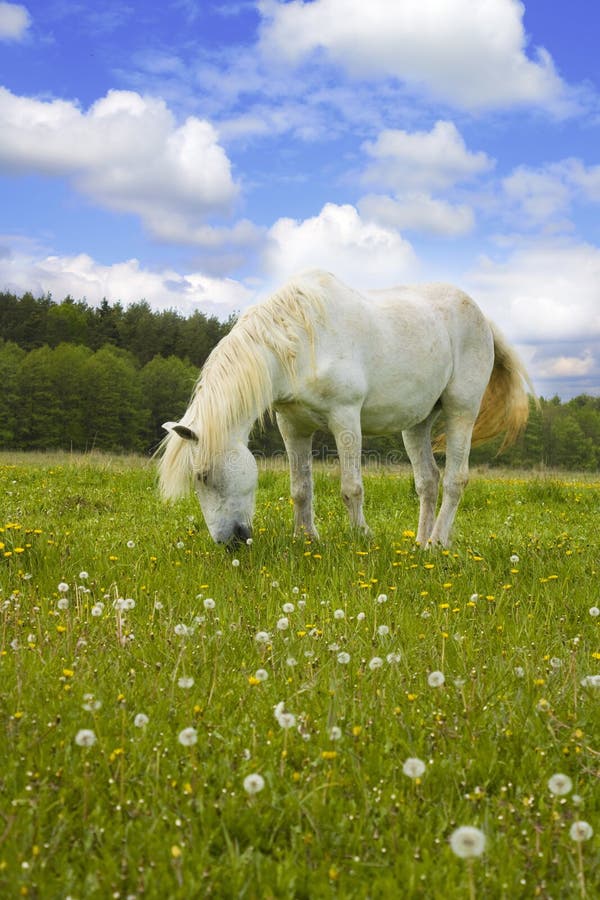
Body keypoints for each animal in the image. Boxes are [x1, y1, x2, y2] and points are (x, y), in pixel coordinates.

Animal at [158, 269, 531, 547]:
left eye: (203, 476)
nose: (230, 543)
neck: (299, 341)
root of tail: (482, 317)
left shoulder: (346, 418)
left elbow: (351, 488)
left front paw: (361, 537)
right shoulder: (292, 426)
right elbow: (300, 488)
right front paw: (306, 538)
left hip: (461, 411)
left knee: (455, 479)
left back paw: (438, 542)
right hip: (417, 423)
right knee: (428, 480)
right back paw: (419, 545)